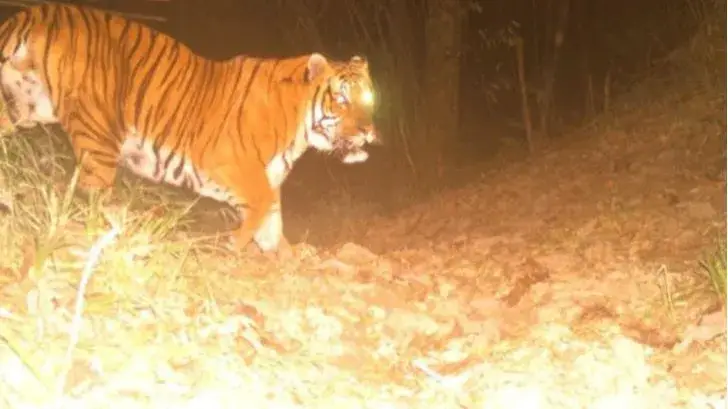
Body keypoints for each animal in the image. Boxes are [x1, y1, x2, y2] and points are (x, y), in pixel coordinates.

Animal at [0, 3, 379, 258]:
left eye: (369, 98)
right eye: (341, 99)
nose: (368, 132)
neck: (299, 131)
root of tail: (34, 14)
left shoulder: (267, 176)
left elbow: (273, 220)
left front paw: (286, 255)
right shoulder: (234, 166)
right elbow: (262, 207)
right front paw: (233, 244)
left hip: (20, 107)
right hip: (99, 133)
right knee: (94, 193)